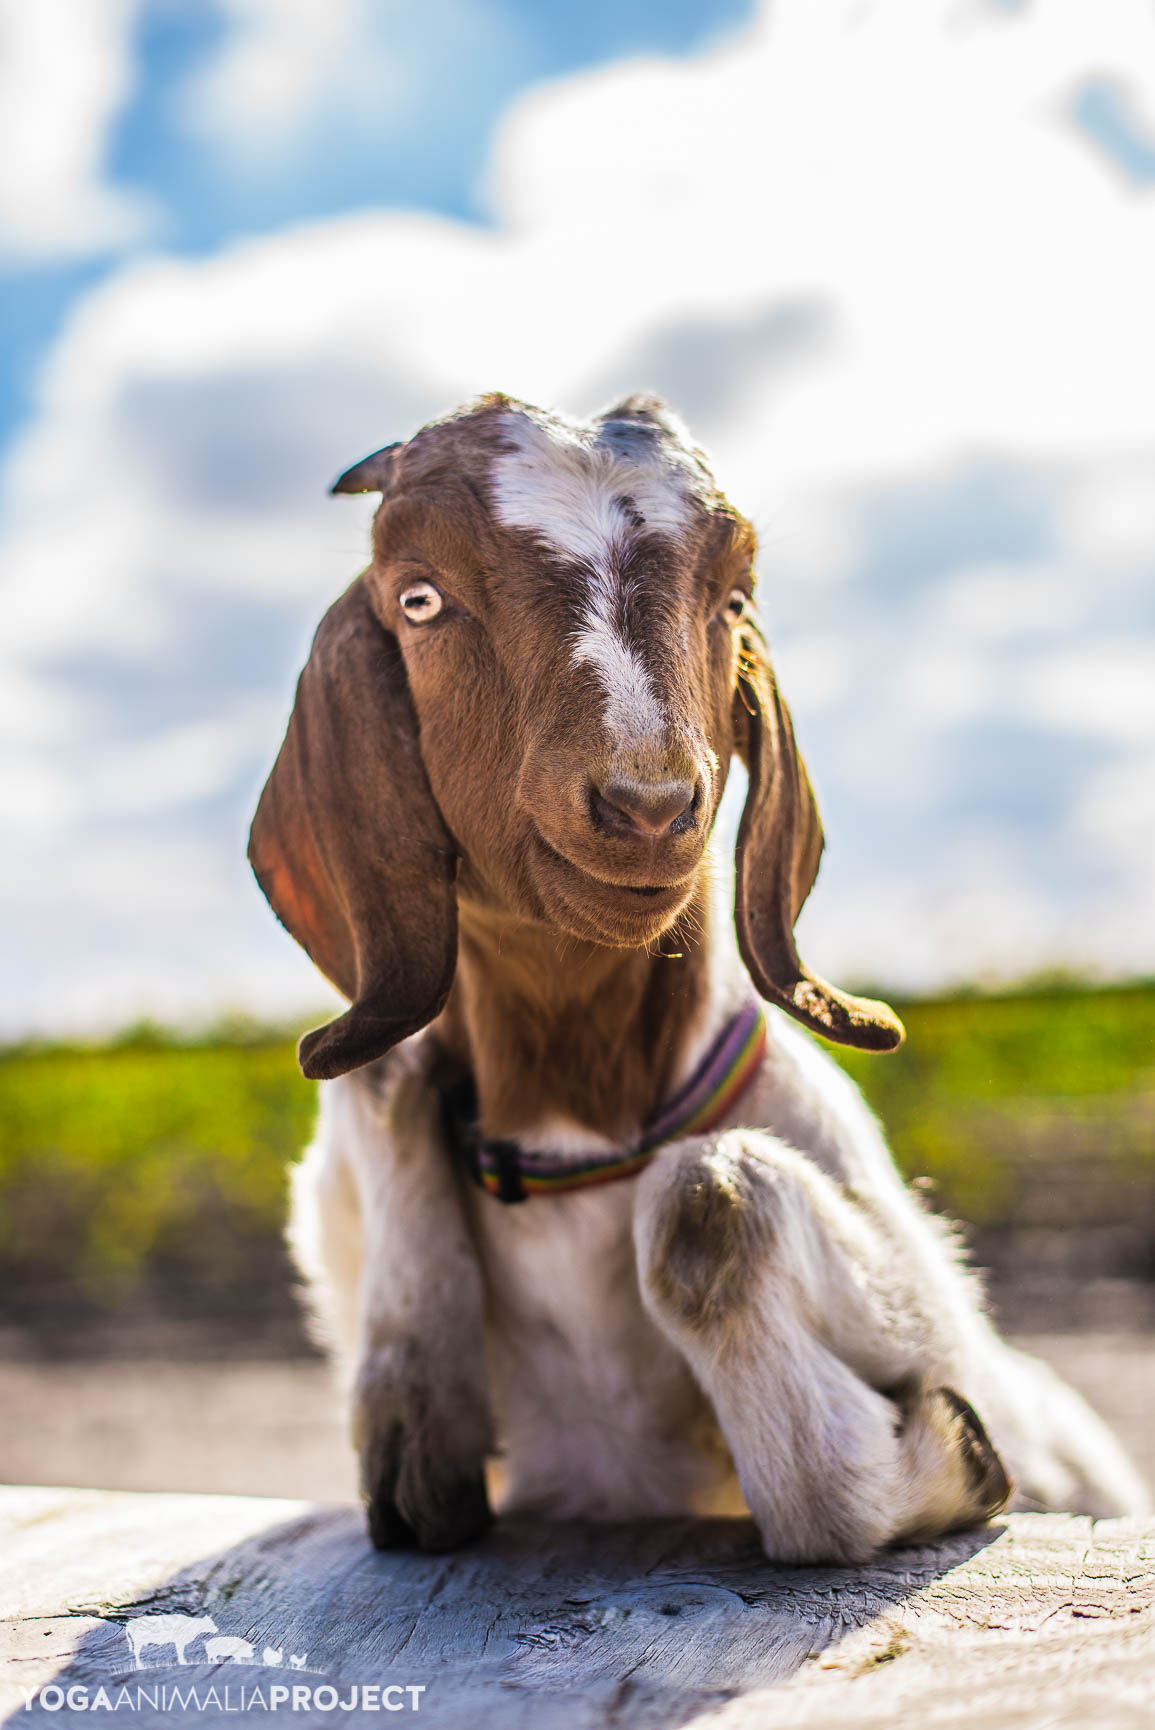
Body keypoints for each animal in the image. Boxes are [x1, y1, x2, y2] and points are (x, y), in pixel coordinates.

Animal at [250, 393, 1148, 1563]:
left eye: (732, 599)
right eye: (419, 598)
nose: (648, 803)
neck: (576, 1135)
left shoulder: (952, 1335)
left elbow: (706, 1202)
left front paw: (957, 1456)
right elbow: (383, 1076)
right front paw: (417, 1417)